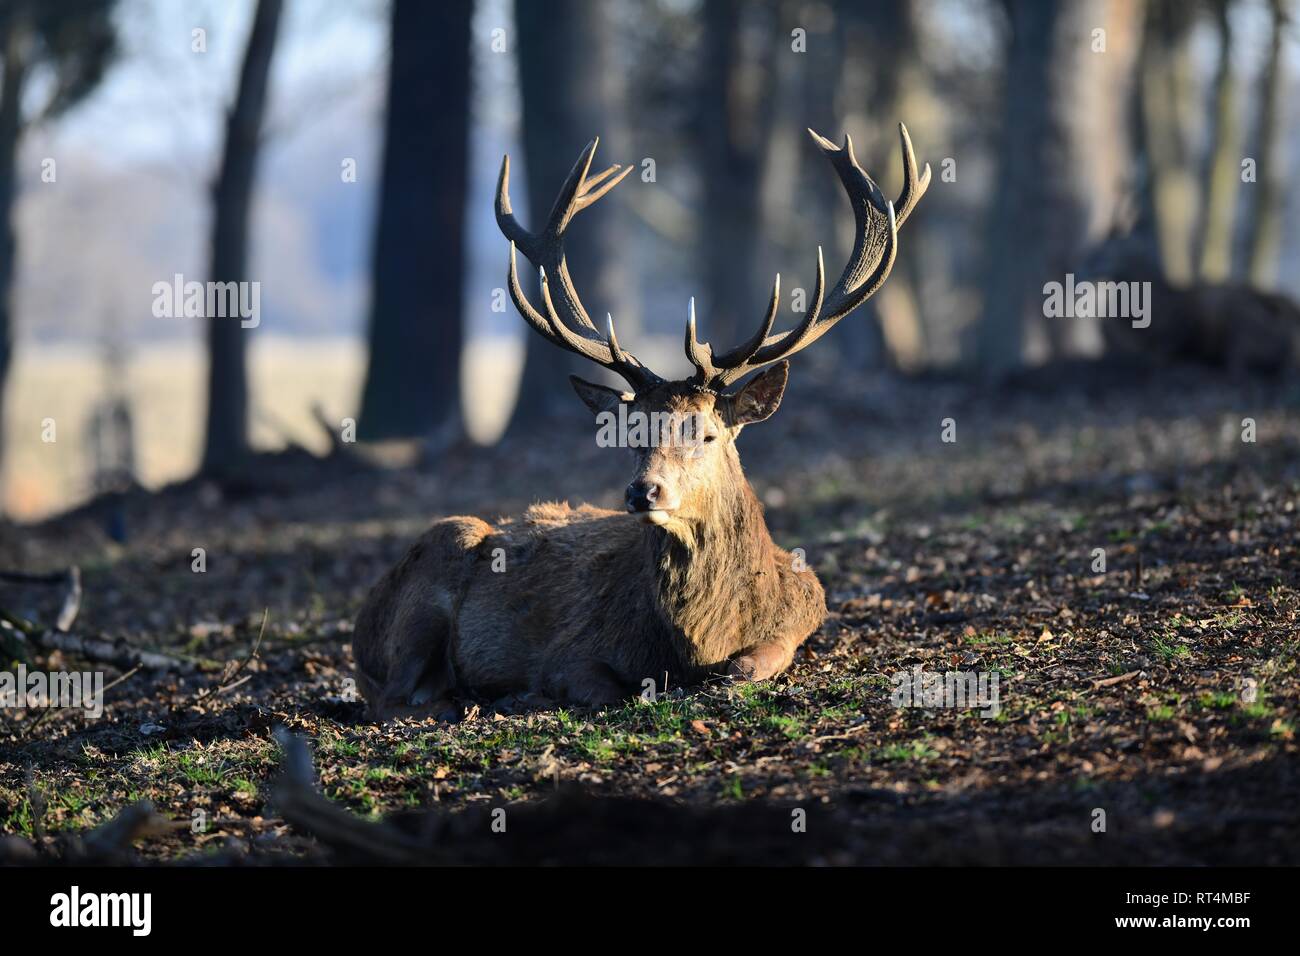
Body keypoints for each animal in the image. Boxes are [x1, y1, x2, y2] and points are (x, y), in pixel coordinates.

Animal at [352, 125, 930, 719]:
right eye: (631, 434)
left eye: (707, 433)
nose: (642, 491)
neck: (698, 642)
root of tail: (359, 627)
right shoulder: (571, 650)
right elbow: (603, 687)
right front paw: (528, 691)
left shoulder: (800, 619)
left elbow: (747, 667)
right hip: (436, 562)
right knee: (391, 698)